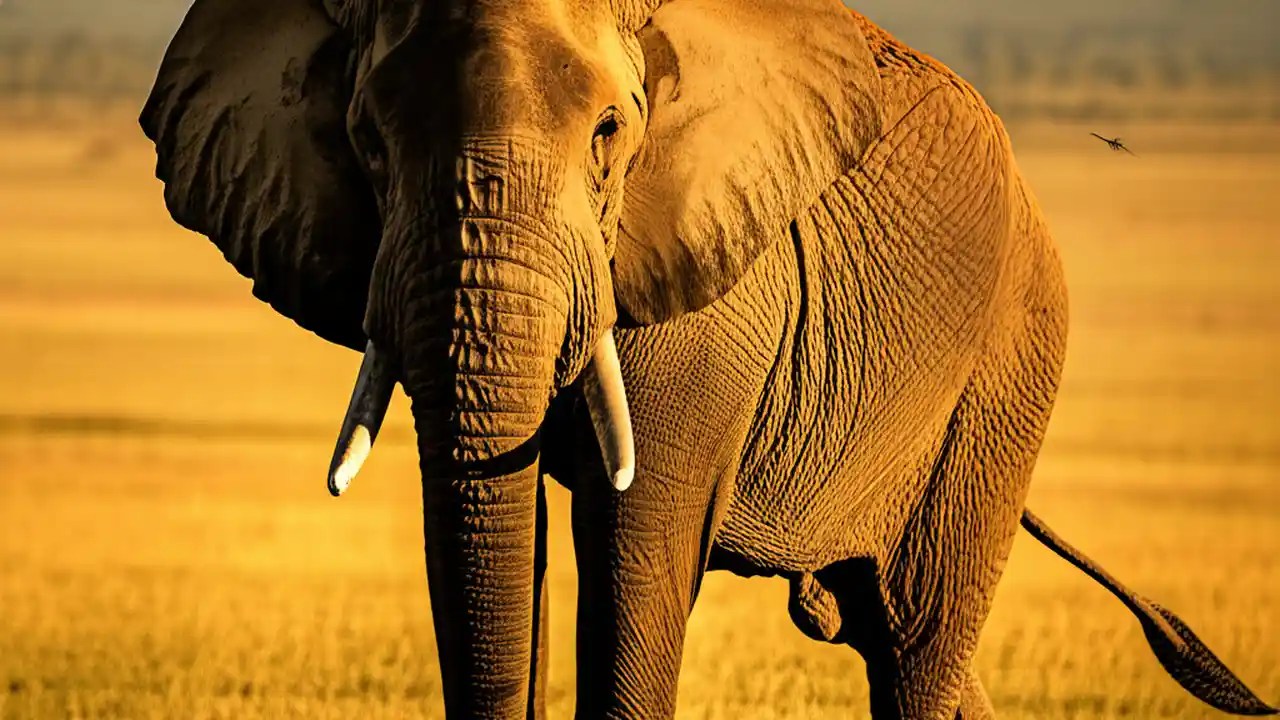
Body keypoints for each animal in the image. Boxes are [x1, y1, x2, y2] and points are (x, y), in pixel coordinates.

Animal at [139, 0, 1277, 717]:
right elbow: (505, 540)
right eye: (368, 144)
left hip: (1006, 365)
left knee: (915, 642)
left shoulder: (703, 285)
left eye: (610, 132)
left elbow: (633, 549)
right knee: (904, 645)